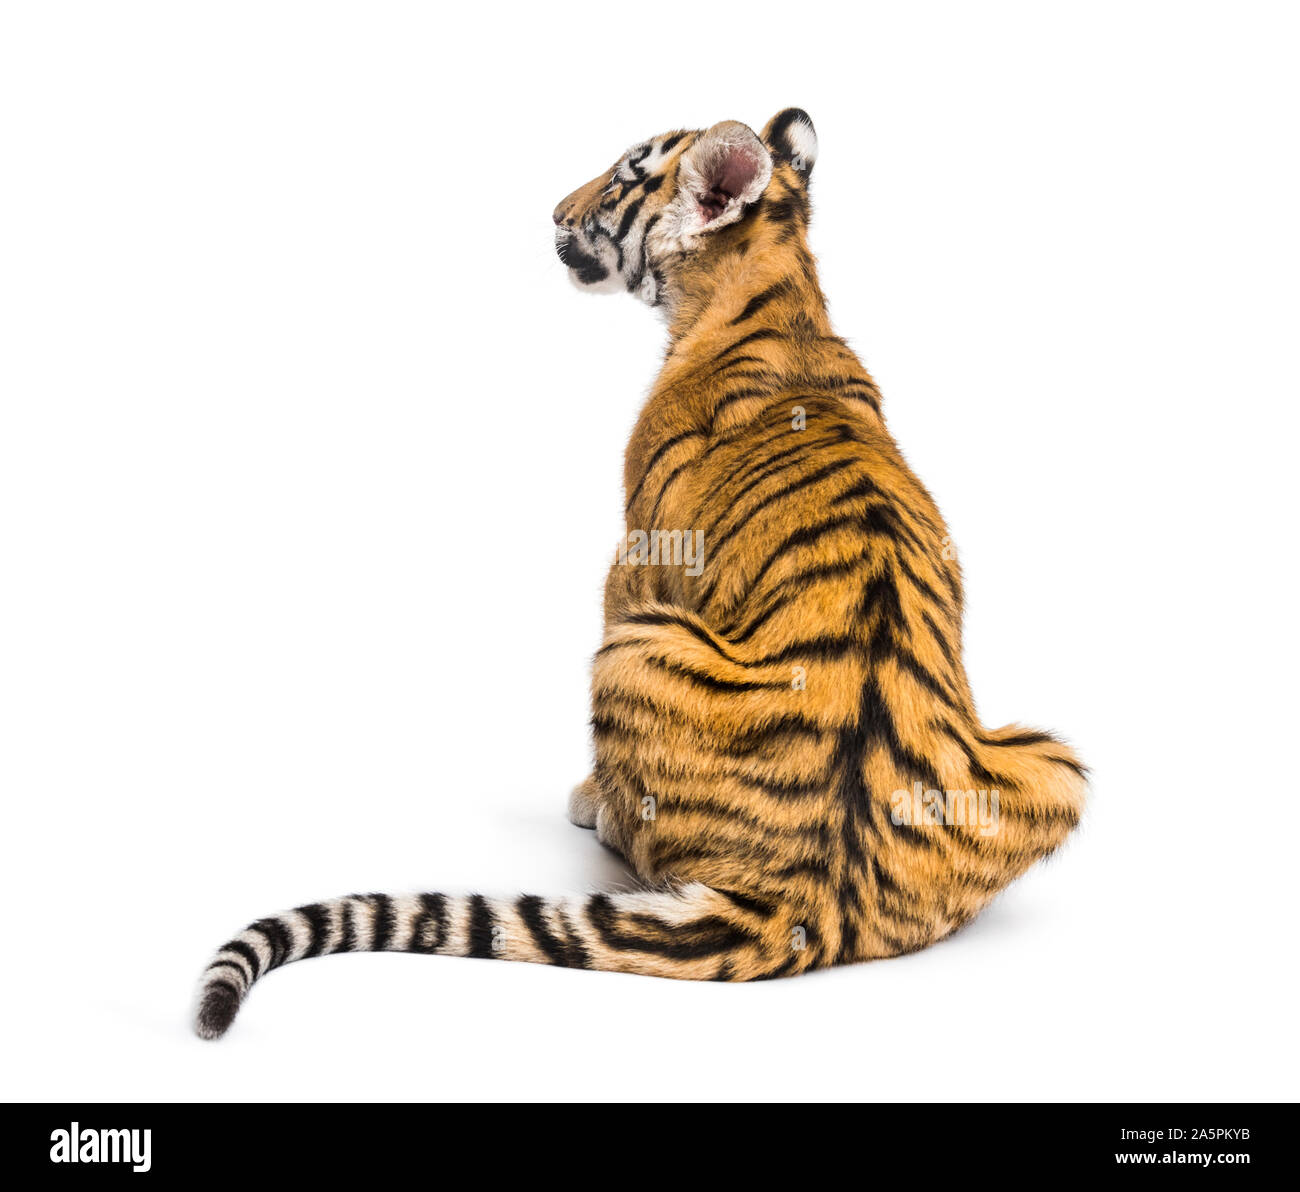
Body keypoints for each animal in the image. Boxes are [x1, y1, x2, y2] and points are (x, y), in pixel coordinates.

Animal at [195, 109, 1086, 1039]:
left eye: (624, 176)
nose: (553, 210)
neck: (775, 289)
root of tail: (809, 906)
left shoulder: (637, 557)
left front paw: (592, 793)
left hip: (632, 646)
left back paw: (607, 818)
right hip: (1056, 764)